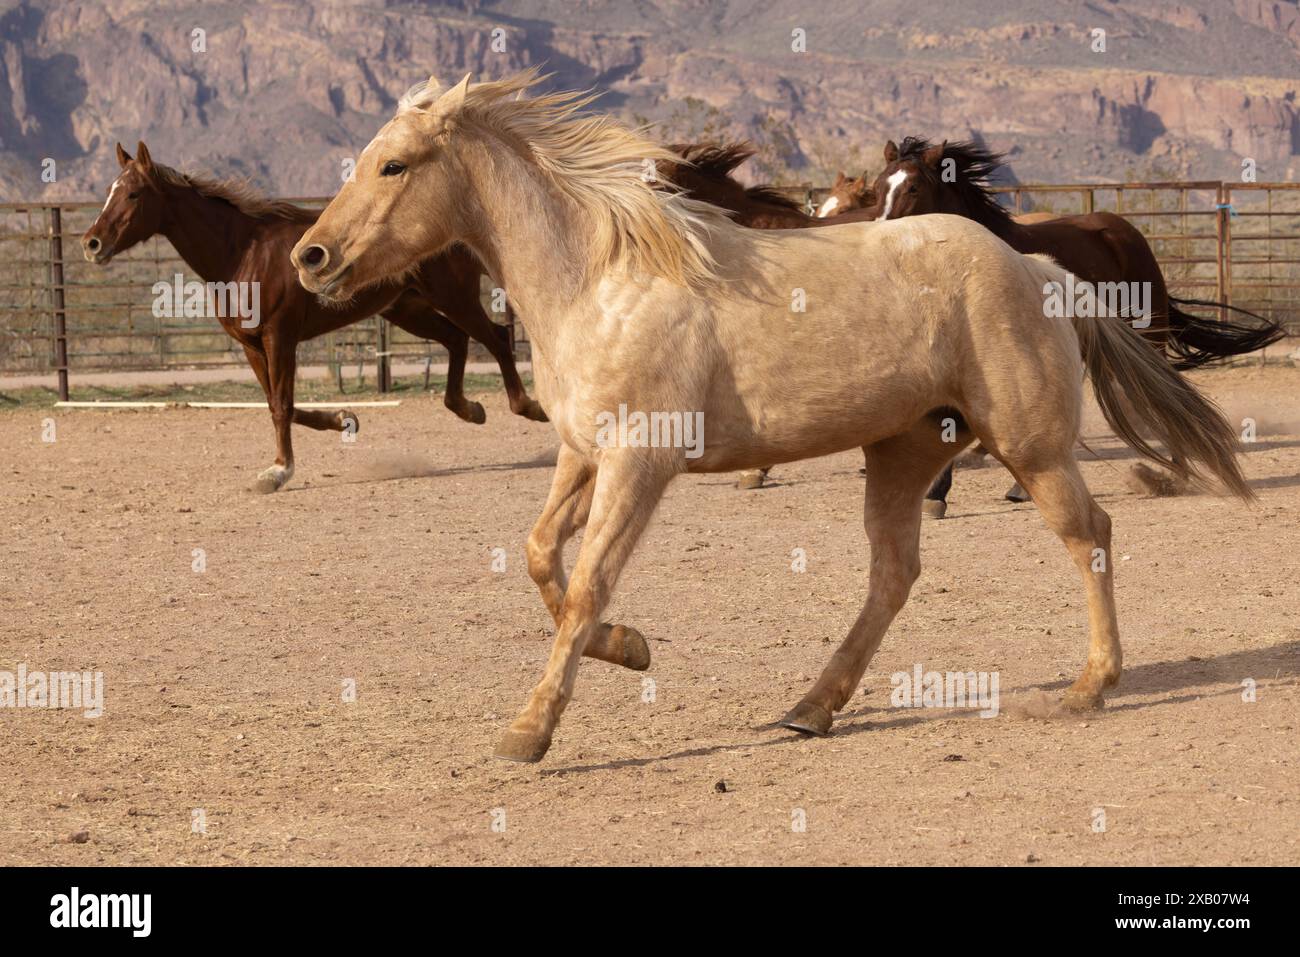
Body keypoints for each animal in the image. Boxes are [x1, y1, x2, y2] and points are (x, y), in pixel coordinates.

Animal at [81, 142, 547, 493]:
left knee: (495, 338)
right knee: (457, 341)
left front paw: (278, 472)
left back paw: (529, 407)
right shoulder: (252, 345)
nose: (92, 243)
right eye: (109, 190)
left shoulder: (279, 337)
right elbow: (278, 403)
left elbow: (281, 405)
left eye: (134, 193)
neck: (241, 254)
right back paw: (469, 408)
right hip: (407, 308)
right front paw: (342, 419)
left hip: (453, 296)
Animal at [829, 138, 1285, 515]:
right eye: (879, 187)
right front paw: (937, 493)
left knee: (1164, 395)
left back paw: (1170, 474)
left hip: (1148, 331)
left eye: (913, 188)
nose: (879, 236)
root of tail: (1122, 229)